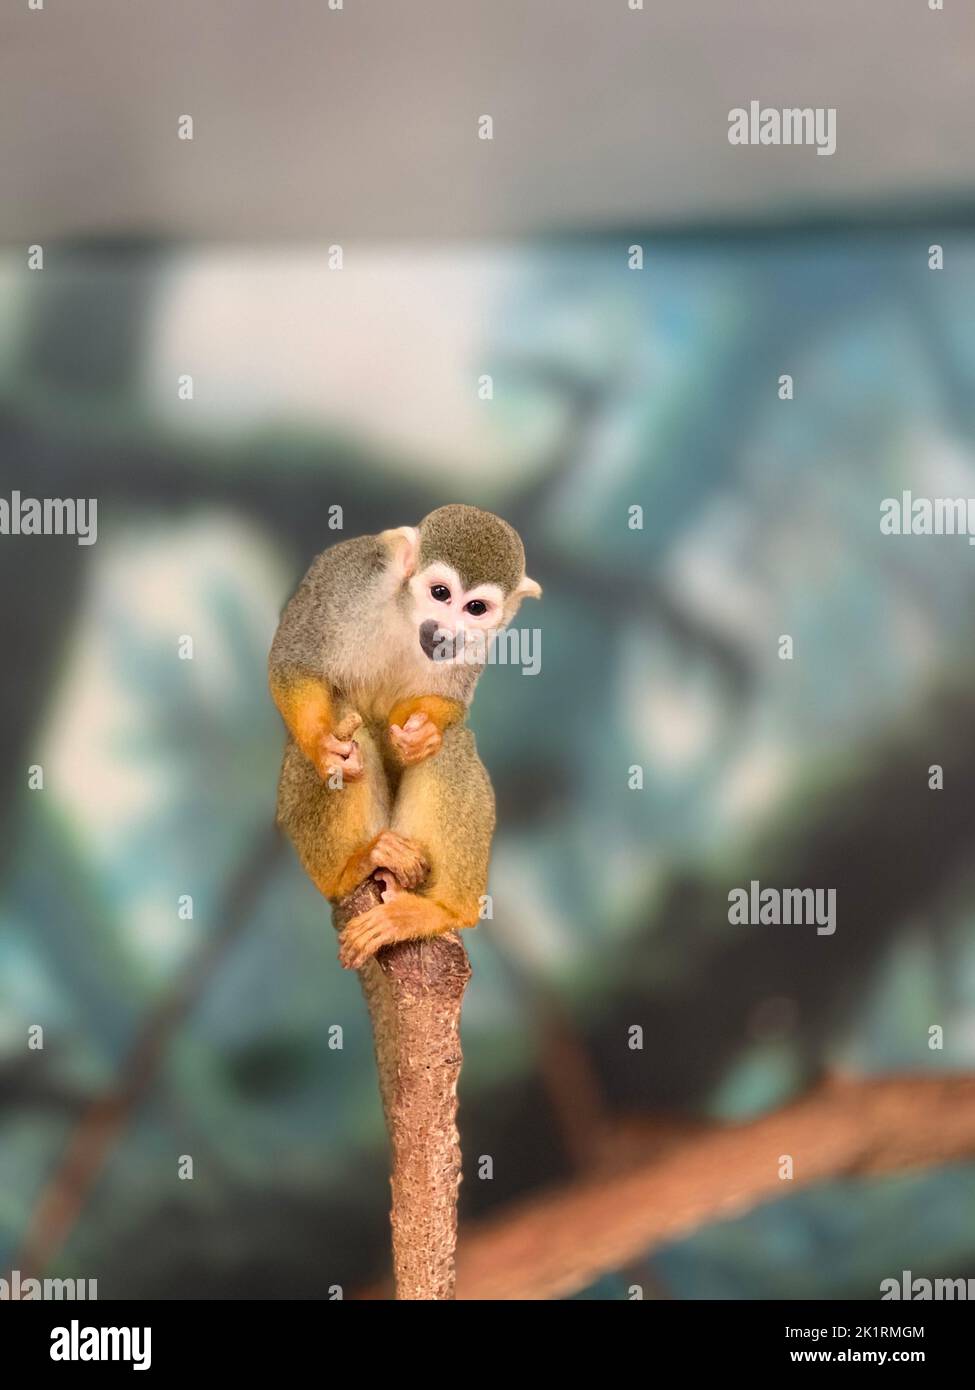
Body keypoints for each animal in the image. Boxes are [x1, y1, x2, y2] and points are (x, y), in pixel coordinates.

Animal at [269, 504, 541, 970]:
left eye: (475, 608)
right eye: (439, 593)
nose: (446, 631)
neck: (405, 613)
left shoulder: (480, 645)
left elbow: (449, 709)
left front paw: (424, 733)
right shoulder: (349, 580)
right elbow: (293, 663)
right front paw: (323, 744)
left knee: (453, 746)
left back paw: (443, 910)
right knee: (348, 725)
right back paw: (349, 870)